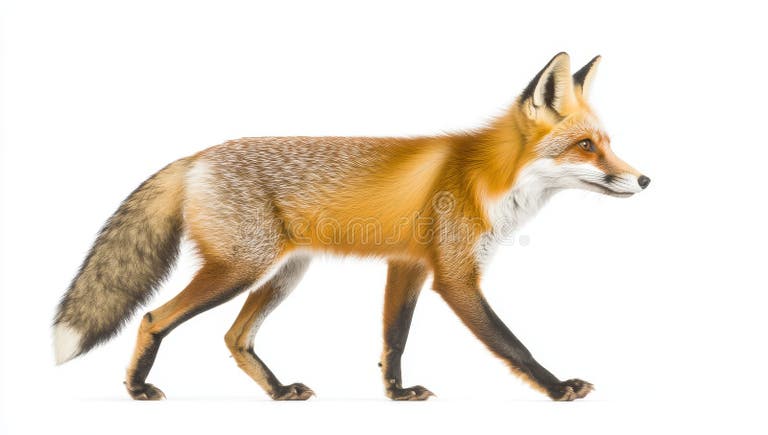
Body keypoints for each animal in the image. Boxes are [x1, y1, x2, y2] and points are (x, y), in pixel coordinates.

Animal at [53, 52, 649, 402]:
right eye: (586, 146)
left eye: (608, 142)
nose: (644, 180)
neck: (489, 178)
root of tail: (195, 157)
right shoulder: (454, 276)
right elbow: (512, 343)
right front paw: (557, 387)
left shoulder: (408, 266)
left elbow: (394, 339)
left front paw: (395, 394)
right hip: (240, 269)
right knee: (153, 318)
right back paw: (136, 388)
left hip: (283, 275)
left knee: (234, 337)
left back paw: (277, 392)